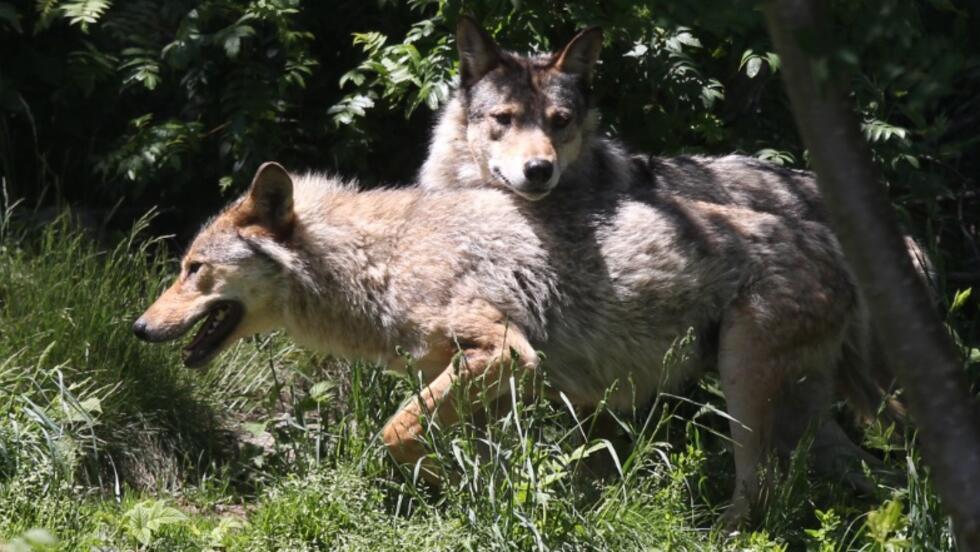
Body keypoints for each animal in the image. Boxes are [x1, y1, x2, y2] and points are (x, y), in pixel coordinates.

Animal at [135, 161, 884, 522]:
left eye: (193, 269)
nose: (139, 329)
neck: (384, 258)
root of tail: (837, 249)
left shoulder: (505, 355)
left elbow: (394, 433)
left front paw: (449, 487)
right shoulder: (492, 381)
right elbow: (453, 447)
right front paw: (475, 491)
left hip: (745, 399)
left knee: (764, 490)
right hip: (802, 415)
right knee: (861, 476)